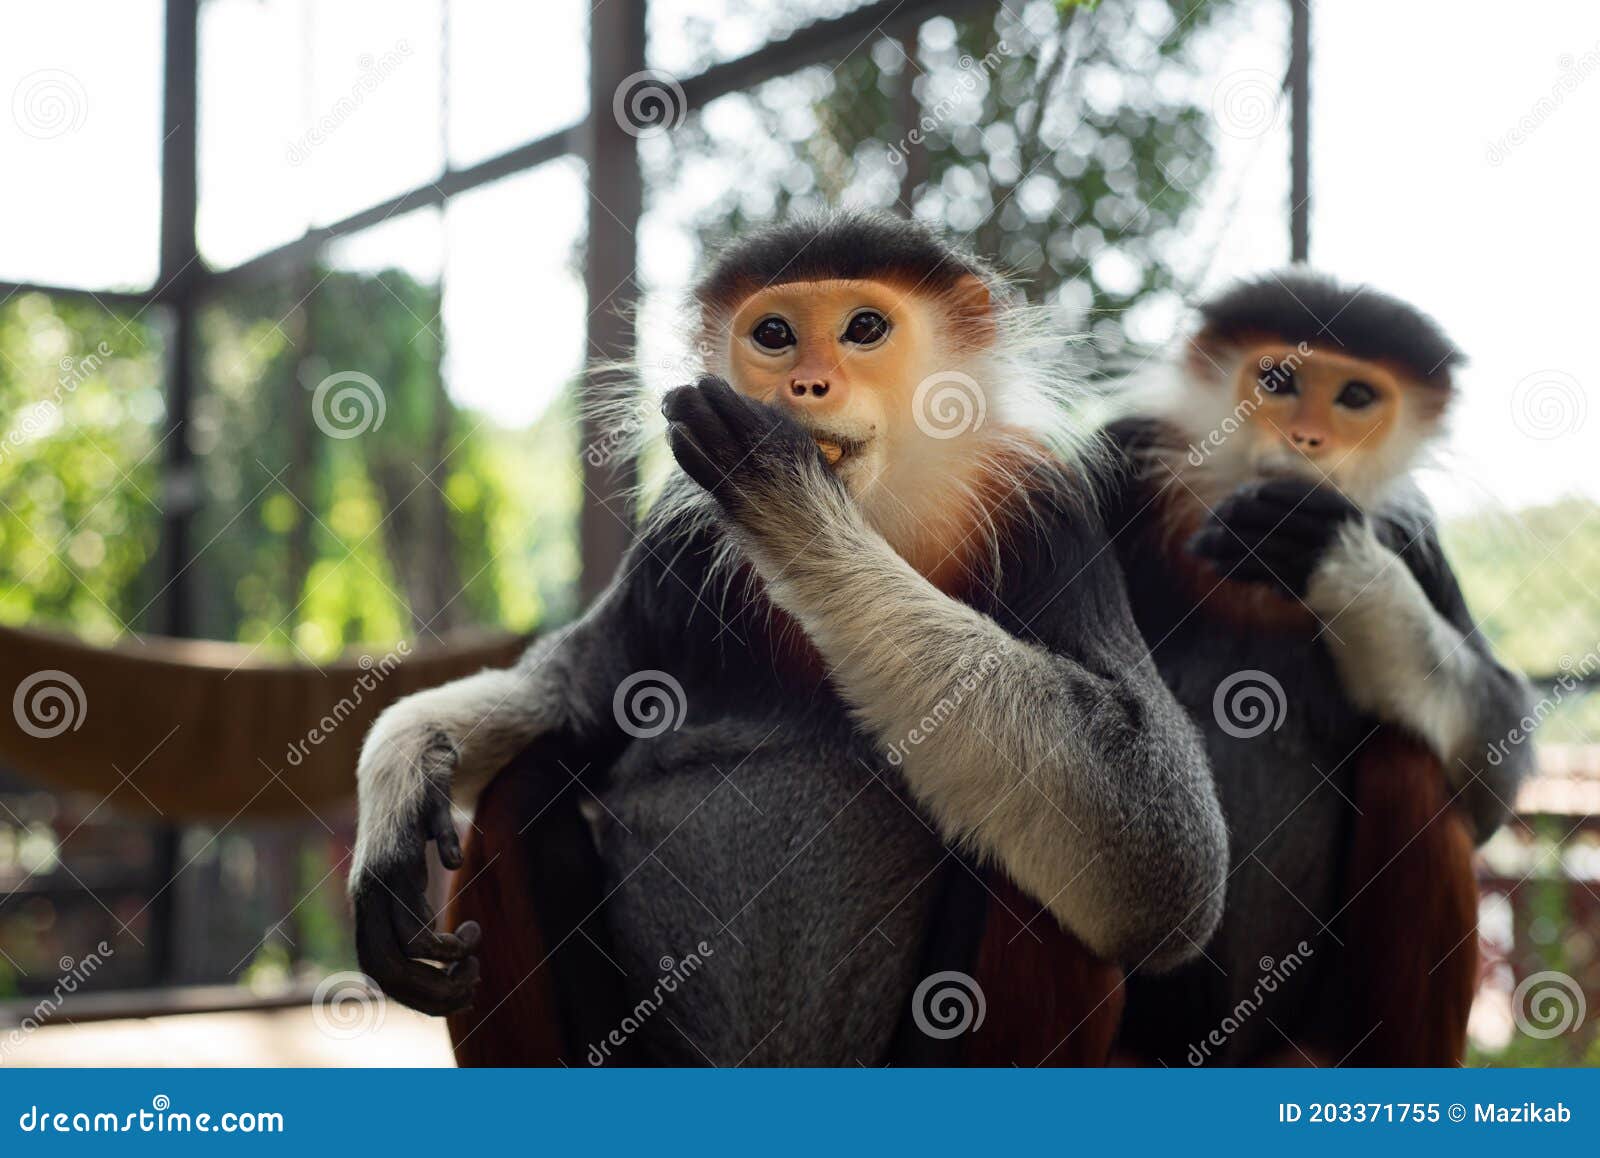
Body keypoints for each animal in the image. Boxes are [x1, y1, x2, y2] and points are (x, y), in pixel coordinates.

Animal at [347, 211, 1228, 1066]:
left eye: (865, 328)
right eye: (773, 335)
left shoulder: (1046, 503)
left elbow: (1168, 858)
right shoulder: (672, 542)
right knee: (522, 786)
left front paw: (780, 483)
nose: (807, 383)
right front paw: (399, 785)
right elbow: (567, 691)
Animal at [1096, 270, 1535, 1065]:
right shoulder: (1114, 459)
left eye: (1355, 397)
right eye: (1278, 380)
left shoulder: (1420, 543)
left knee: (1408, 759)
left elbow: (1497, 765)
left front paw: (1341, 561)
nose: (1306, 440)